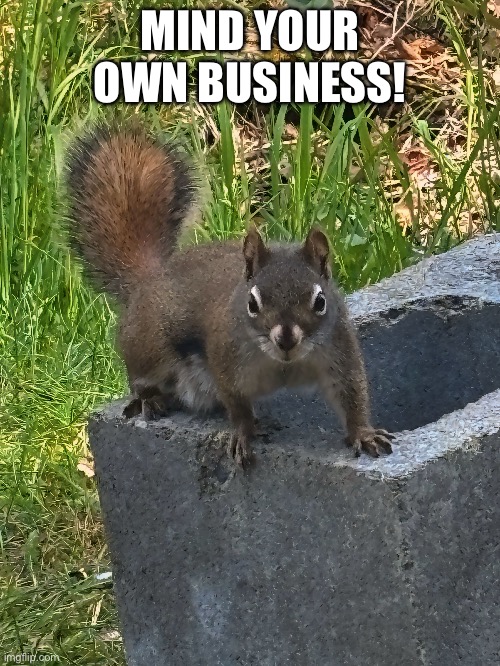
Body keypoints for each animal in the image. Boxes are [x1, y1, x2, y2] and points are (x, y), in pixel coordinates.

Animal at [65, 122, 394, 466]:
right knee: (140, 378)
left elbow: (351, 394)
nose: (286, 339)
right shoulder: (226, 361)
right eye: (252, 303)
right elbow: (236, 405)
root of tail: (150, 279)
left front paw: (363, 433)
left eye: (320, 301)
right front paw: (244, 433)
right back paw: (150, 400)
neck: (283, 364)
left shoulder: (338, 349)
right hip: (149, 348)